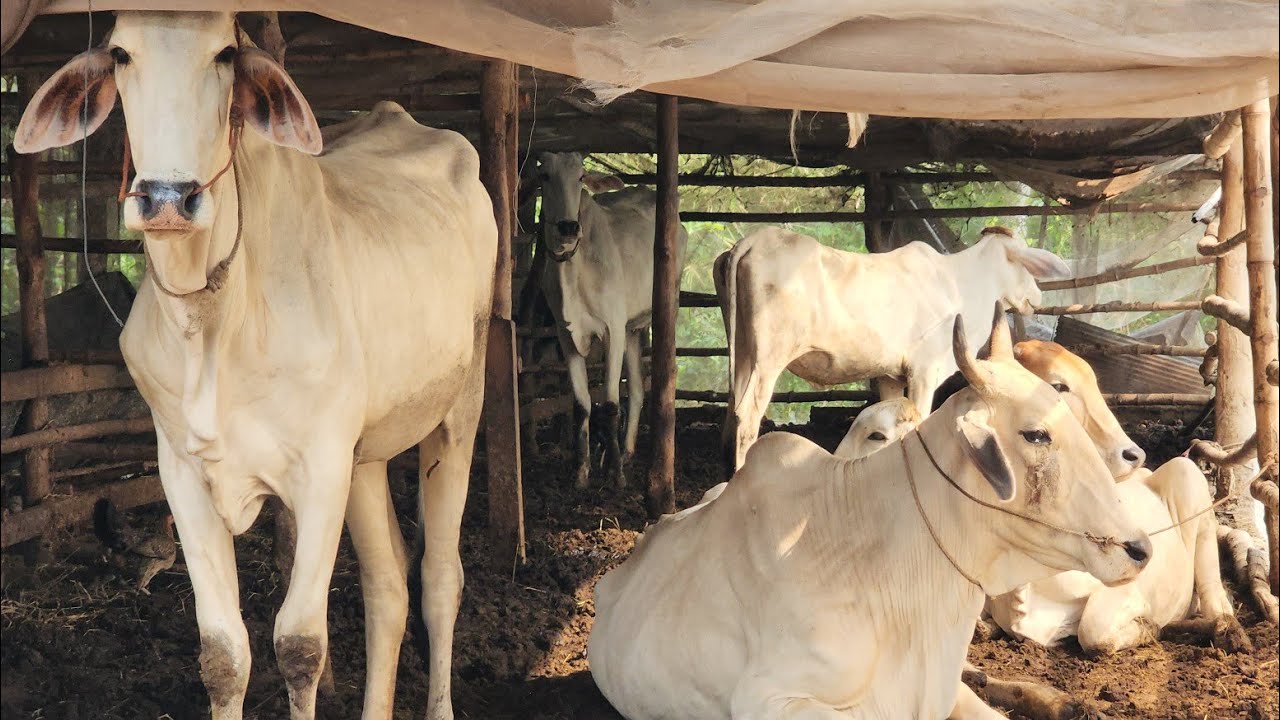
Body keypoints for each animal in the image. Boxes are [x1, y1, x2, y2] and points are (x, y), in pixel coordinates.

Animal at [15, 12, 495, 720]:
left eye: (225, 53)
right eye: (121, 53)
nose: (167, 198)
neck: (213, 323)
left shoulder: (321, 470)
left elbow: (299, 646)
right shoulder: (183, 472)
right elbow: (223, 654)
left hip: (460, 406)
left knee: (440, 577)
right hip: (366, 456)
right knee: (388, 587)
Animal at [536, 152, 688, 487]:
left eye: (581, 176)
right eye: (544, 176)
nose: (568, 227)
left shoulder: (612, 330)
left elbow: (609, 403)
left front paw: (616, 475)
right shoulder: (567, 336)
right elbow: (582, 404)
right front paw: (582, 472)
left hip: (661, 309)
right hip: (631, 330)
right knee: (637, 390)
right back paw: (626, 450)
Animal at [713, 224, 1071, 475]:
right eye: (1026, 264)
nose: (1037, 296)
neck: (963, 285)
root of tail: (752, 241)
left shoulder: (889, 375)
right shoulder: (924, 372)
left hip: (742, 353)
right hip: (767, 359)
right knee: (747, 416)